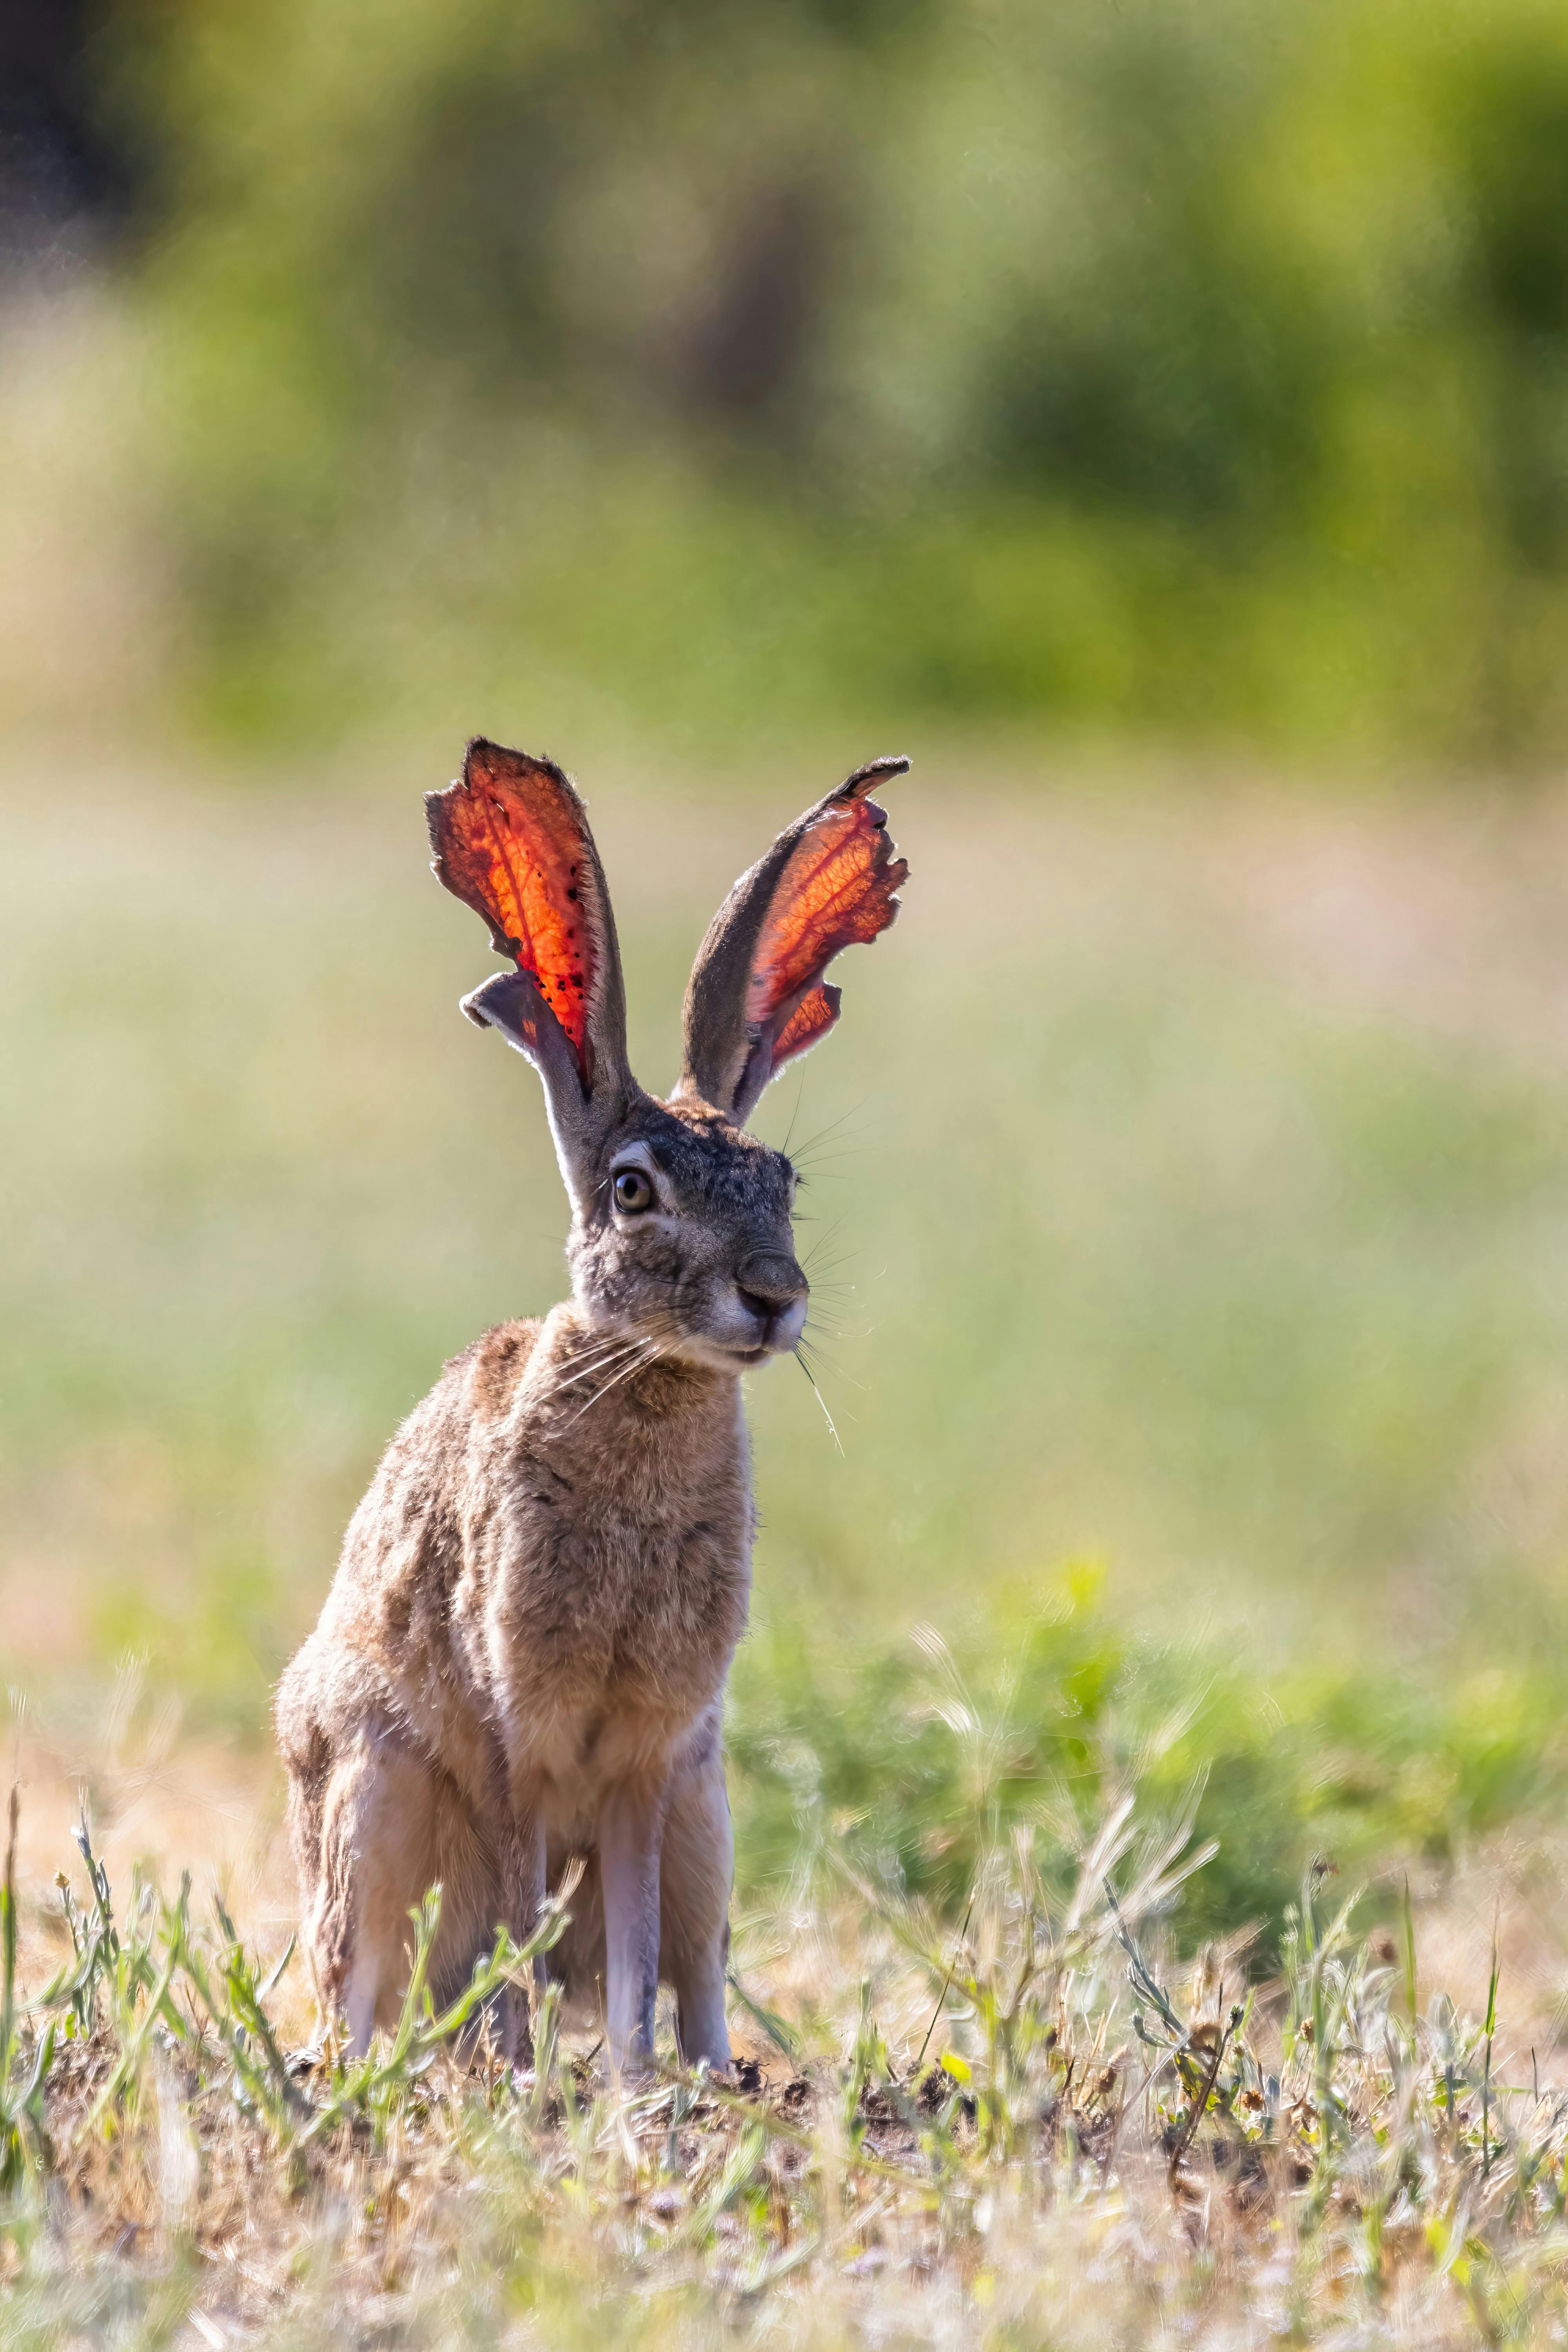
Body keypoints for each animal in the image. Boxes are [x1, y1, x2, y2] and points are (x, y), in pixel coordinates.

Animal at [276, 738, 909, 2075]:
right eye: (631, 1191)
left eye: (784, 1178)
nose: (773, 1295)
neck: (645, 1378)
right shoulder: (514, 1725)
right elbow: (524, 1902)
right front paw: (531, 2071)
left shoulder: (649, 1757)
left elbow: (629, 1939)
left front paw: (628, 2080)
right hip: (371, 1799)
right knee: (368, 1975)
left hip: (708, 1819)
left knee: (697, 1959)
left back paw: (716, 2074)